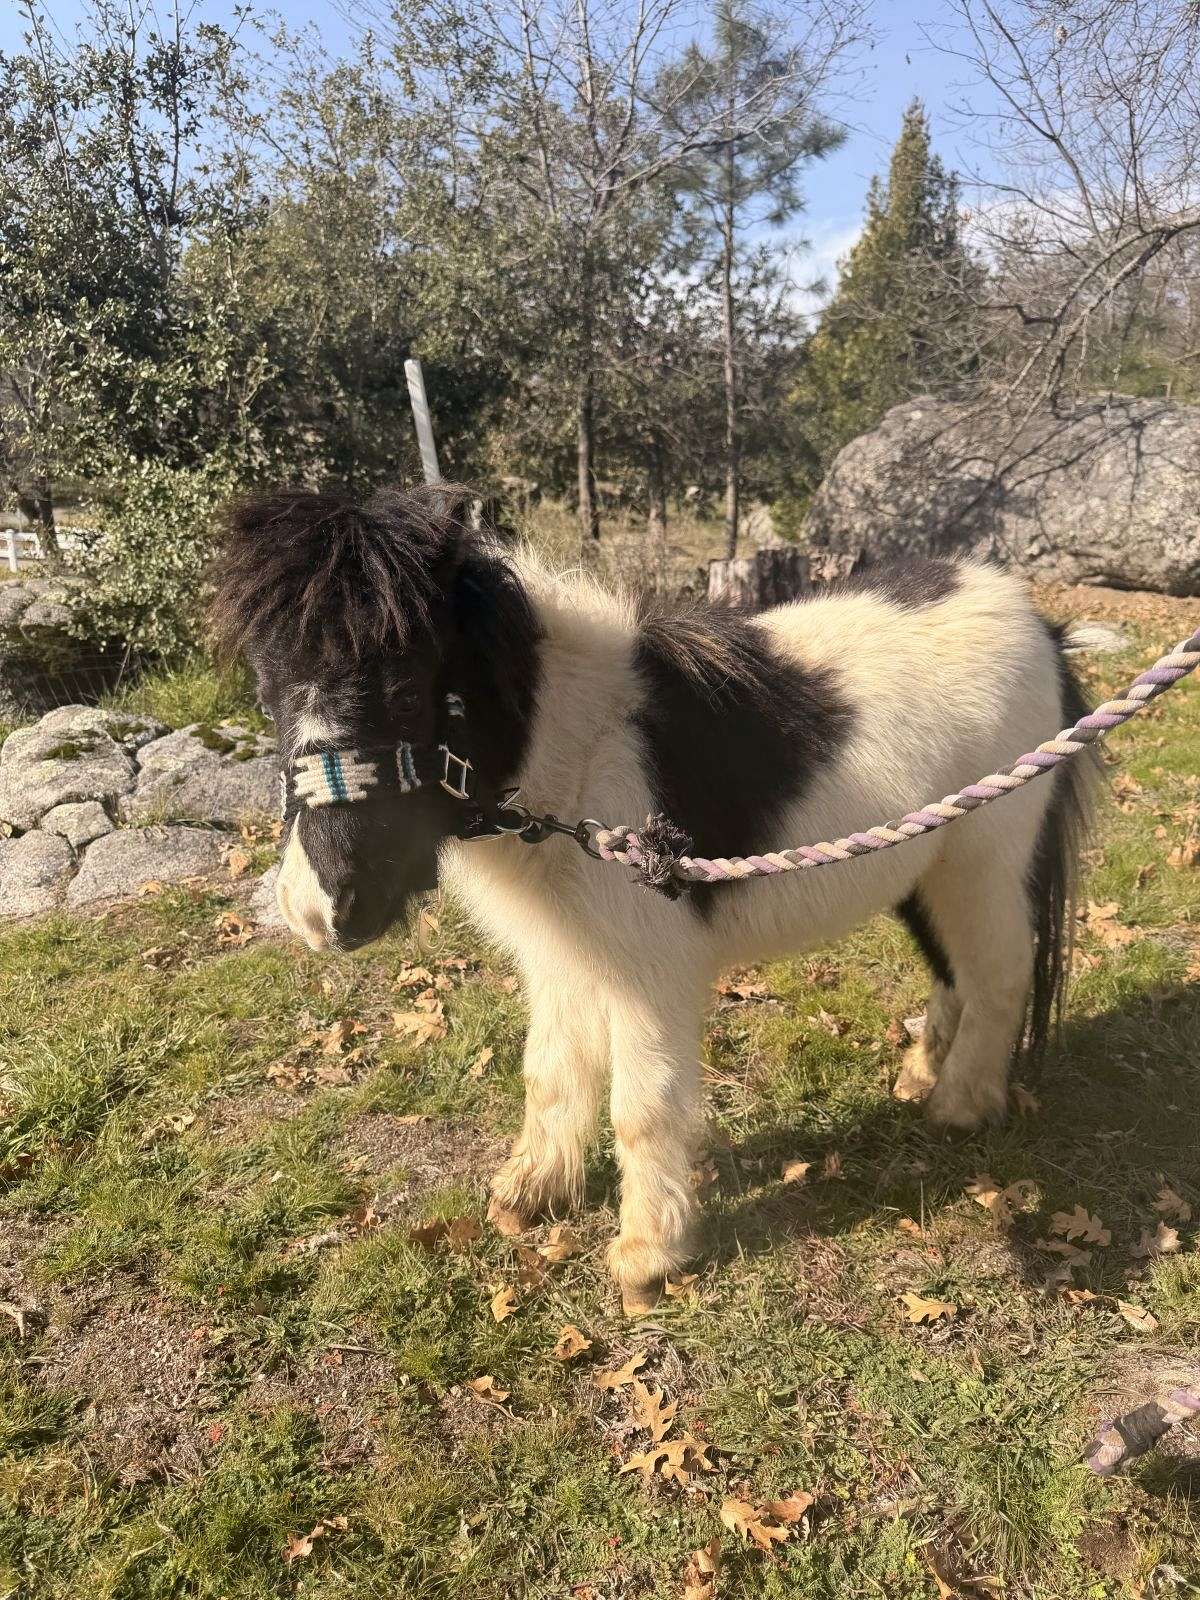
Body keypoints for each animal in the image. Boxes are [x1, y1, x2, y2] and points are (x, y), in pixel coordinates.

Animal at [213, 485, 1097, 1312]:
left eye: (406, 687)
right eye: (267, 689)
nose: (321, 909)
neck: (577, 756)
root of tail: (1037, 621)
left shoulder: (648, 972)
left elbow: (640, 1106)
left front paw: (646, 1258)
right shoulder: (562, 955)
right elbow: (550, 1074)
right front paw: (528, 1197)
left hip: (984, 866)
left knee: (999, 974)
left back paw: (960, 1106)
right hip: (924, 869)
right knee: (953, 971)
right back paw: (921, 1074)